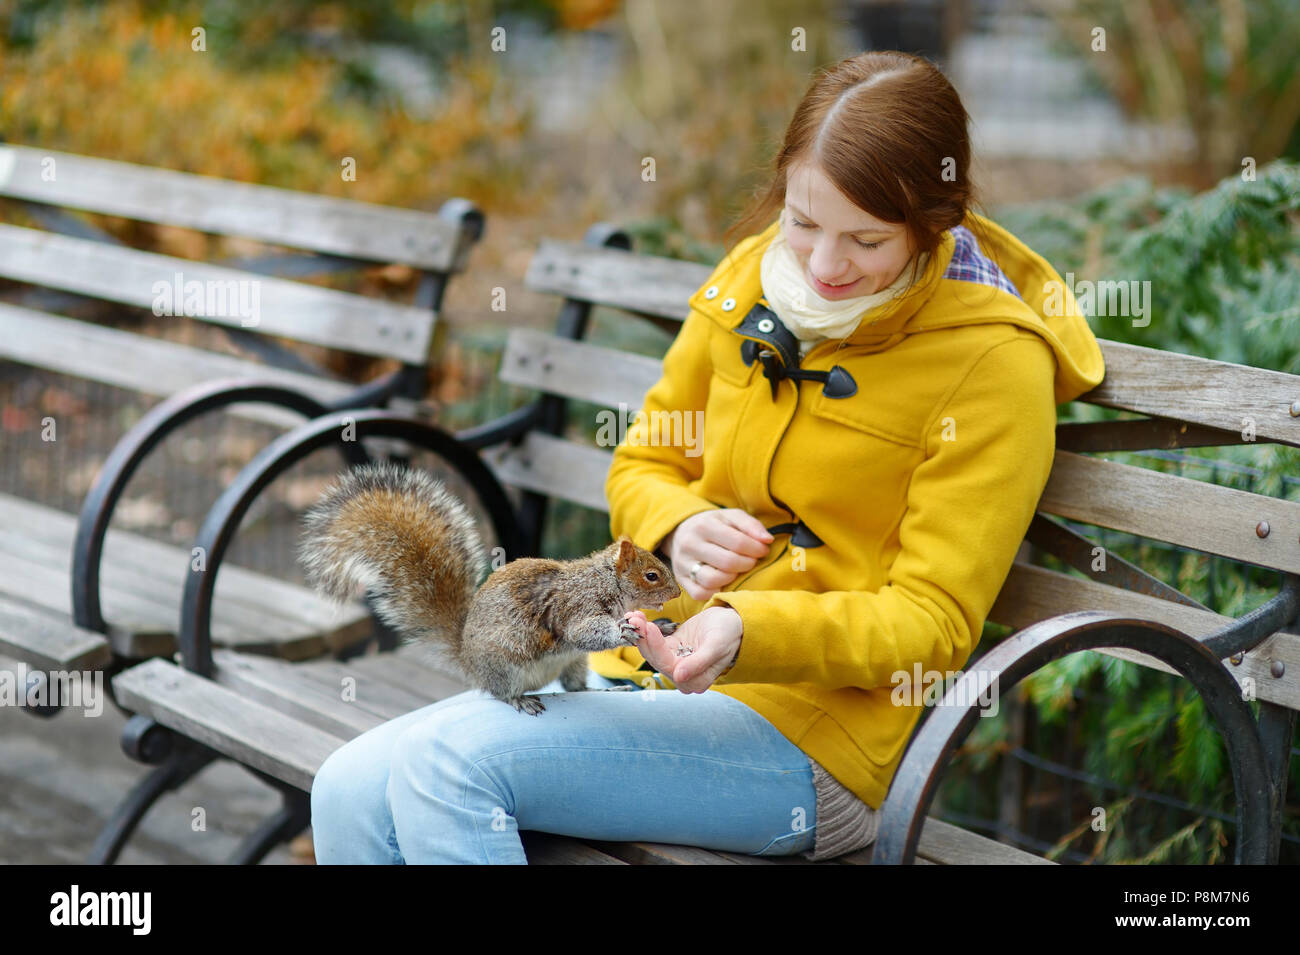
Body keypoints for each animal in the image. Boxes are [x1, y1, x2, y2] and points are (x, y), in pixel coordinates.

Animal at [297, 462, 682, 715]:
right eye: (652, 575)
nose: (678, 594)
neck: (605, 580)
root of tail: (469, 661)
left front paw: (662, 626)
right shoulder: (576, 604)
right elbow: (582, 631)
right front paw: (622, 630)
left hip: (573, 662)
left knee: (575, 686)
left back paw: (605, 690)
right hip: (506, 664)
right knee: (501, 693)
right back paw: (521, 700)